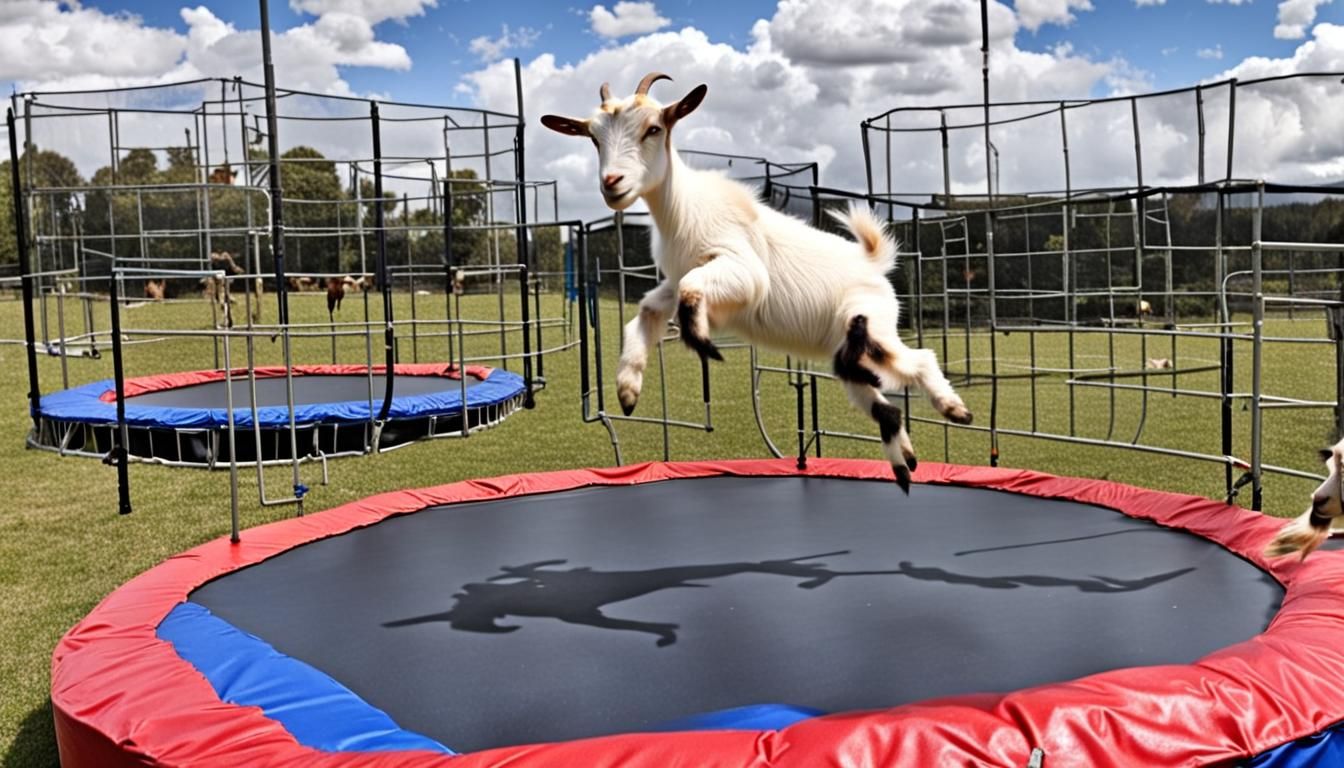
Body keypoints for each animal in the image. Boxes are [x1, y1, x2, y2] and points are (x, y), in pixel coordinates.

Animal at [542, 73, 971, 490]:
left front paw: (704, 345)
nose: (611, 182)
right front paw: (628, 390)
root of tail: (873, 264)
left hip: (873, 328)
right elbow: (647, 311)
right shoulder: (675, 280)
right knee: (883, 403)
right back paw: (906, 460)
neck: (684, 208)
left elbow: (693, 289)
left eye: (653, 128)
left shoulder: (743, 272)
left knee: (919, 360)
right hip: (848, 349)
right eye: (593, 137)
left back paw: (955, 410)